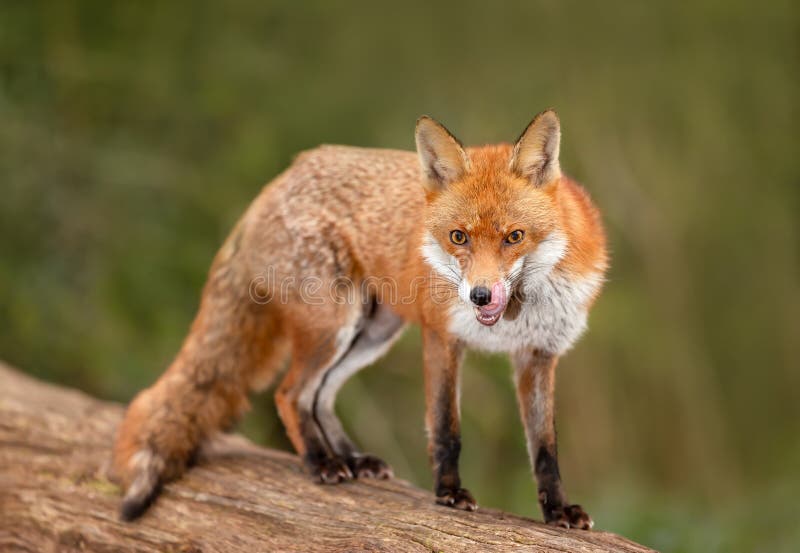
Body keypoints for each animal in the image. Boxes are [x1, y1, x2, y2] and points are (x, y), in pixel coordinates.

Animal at [112, 109, 608, 529]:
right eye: (458, 237)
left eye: (515, 237)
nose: (479, 295)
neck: (516, 314)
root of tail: (280, 178)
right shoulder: (442, 336)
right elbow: (446, 429)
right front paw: (448, 493)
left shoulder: (538, 355)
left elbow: (544, 447)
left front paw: (558, 509)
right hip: (334, 325)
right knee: (291, 394)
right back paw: (321, 463)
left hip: (372, 333)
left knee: (322, 395)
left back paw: (352, 459)